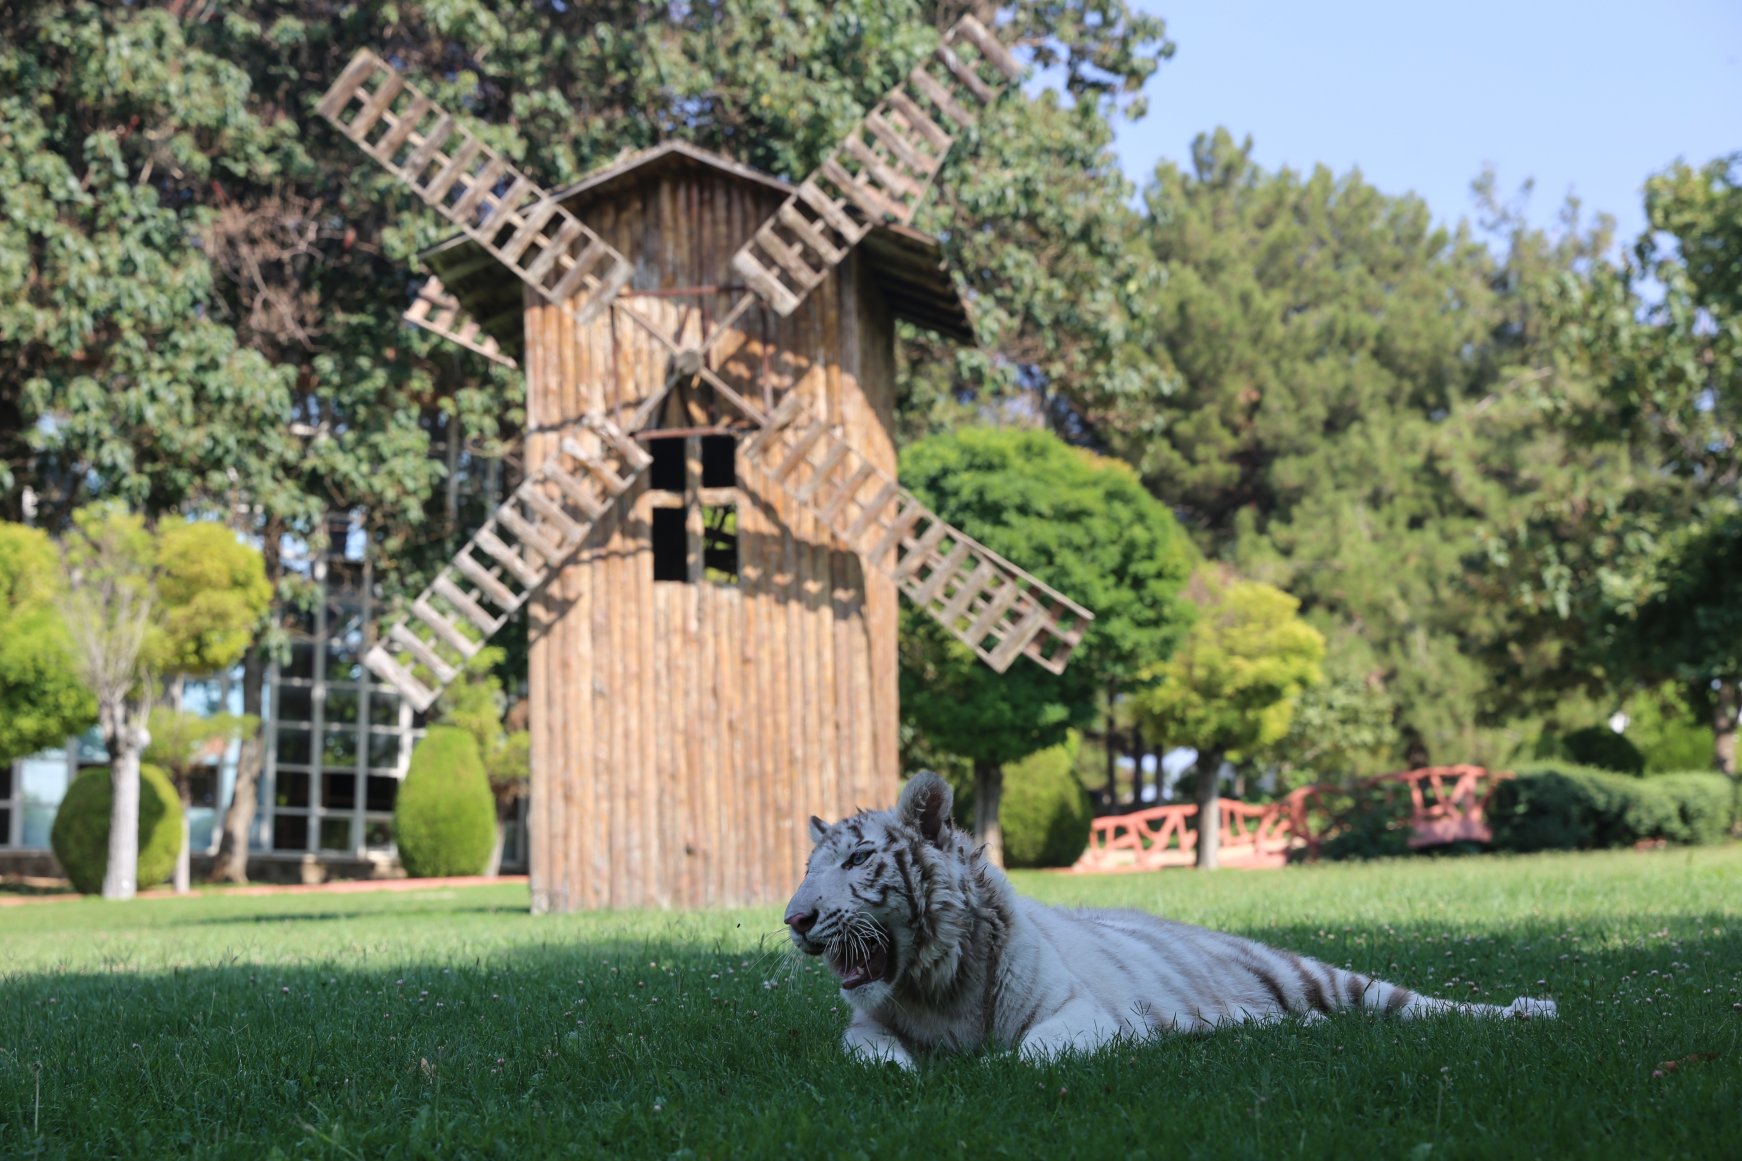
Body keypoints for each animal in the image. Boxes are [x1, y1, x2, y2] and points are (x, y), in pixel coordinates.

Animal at [784, 771, 1557, 1067]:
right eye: (805, 868)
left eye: (857, 859)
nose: (794, 919)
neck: (934, 980)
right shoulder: (865, 1025)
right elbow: (875, 1056)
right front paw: (908, 1073)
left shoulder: (1078, 1009)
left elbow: (1032, 1052)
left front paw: (992, 1068)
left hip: (1320, 974)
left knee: (1419, 1003)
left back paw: (1531, 1009)